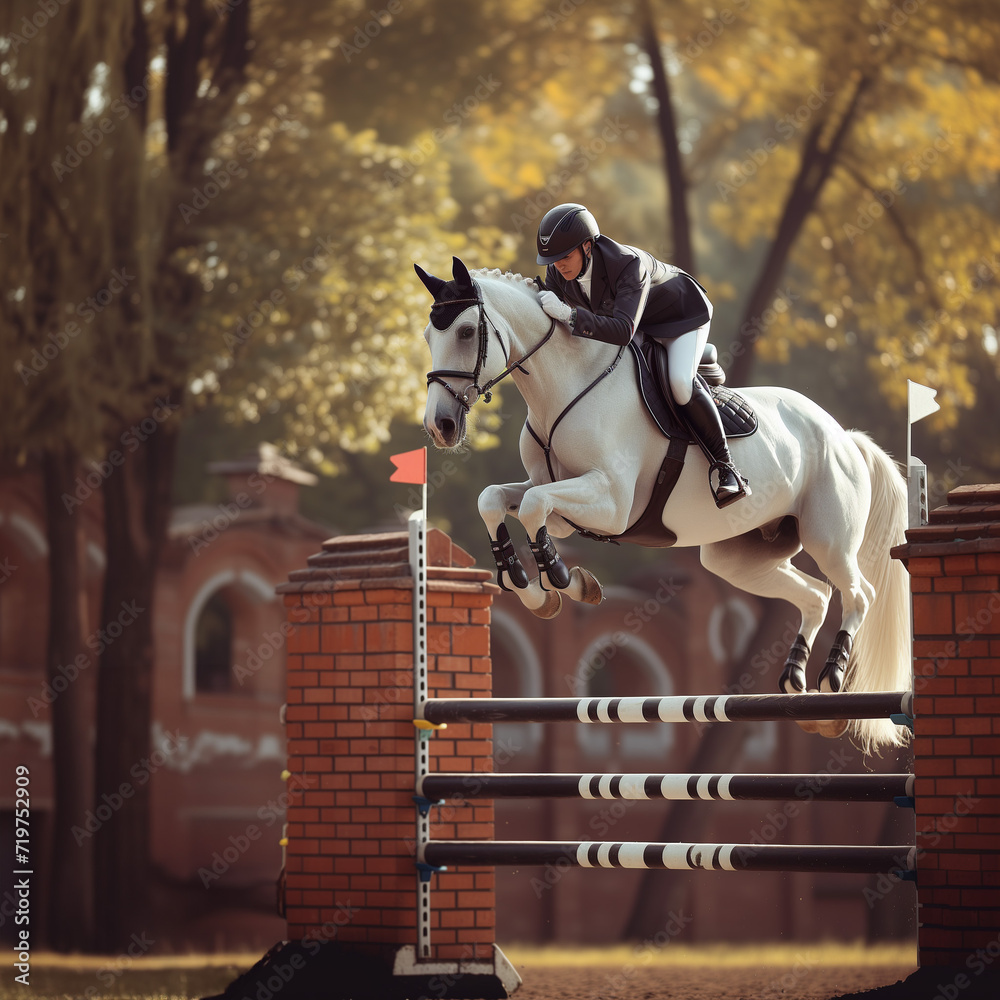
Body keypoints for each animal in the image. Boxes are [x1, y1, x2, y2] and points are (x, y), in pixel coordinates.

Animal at [416, 257, 911, 754]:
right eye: (427, 337)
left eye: (464, 331)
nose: (439, 426)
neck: (566, 385)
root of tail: (843, 434)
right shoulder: (557, 498)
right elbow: (496, 501)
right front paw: (529, 585)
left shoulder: (612, 503)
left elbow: (536, 508)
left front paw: (560, 579)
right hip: (738, 558)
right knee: (815, 594)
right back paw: (794, 681)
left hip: (828, 540)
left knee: (858, 594)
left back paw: (830, 677)